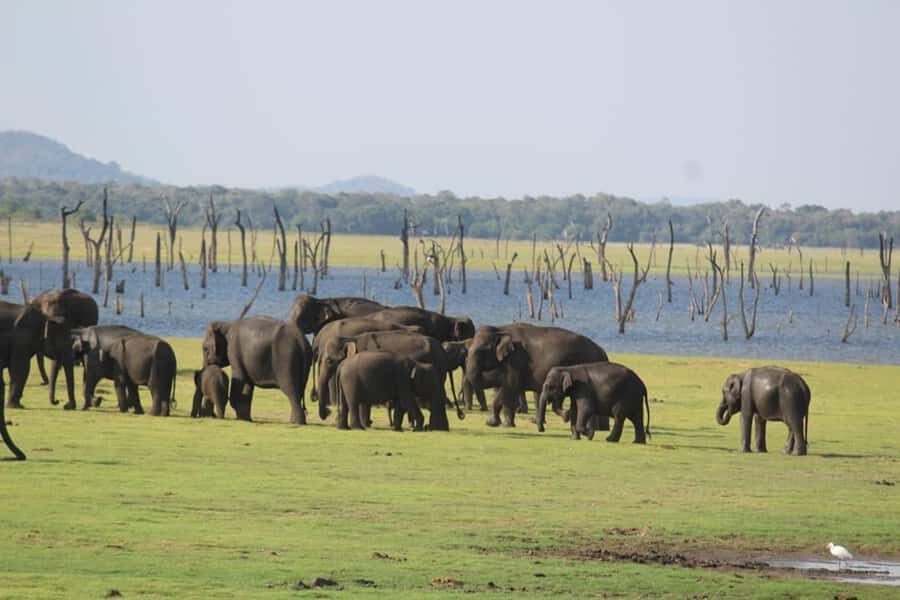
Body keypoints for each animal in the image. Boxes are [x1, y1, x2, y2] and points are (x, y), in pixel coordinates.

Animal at [318, 330, 462, 430]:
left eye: (329, 360)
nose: (327, 412)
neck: (351, 338)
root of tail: (442, 351)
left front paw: (367, 424)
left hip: (438, 368)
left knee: (436, 396)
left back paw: (435, 428)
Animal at [465, 323, 610, 428]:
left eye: (482, 351)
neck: (500, 329)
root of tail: (602, 351)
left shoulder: (516, 361)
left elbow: (509, 387)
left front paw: (496, 424)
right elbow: (508, 387)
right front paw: (502, 424)